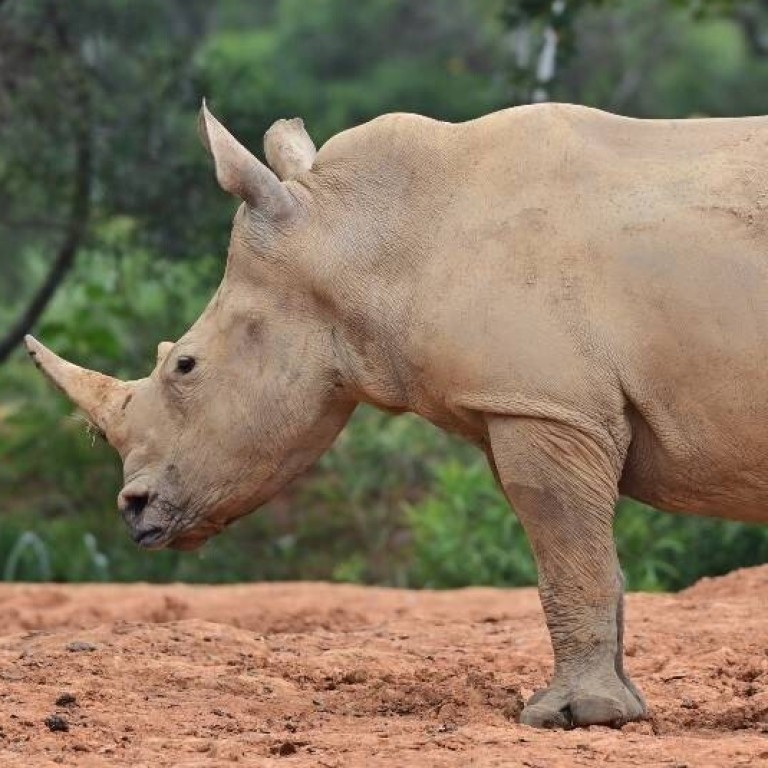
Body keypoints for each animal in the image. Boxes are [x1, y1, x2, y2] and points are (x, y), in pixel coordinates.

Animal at [25, 101, 768, 729]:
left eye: (184, 366)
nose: (132, 509)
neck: (368, 242)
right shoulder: (530, 405)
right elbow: (586, 555)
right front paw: (620, 711)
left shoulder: (546, 407)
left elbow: (565, 548)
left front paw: (574, 717)